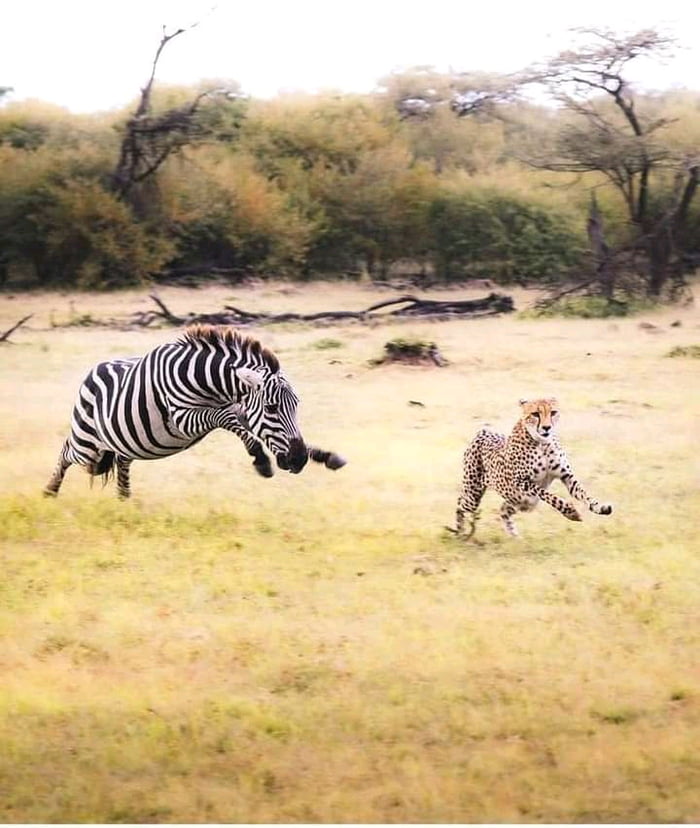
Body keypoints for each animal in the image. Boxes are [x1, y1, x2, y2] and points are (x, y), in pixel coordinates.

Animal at [44, 324, 346, 499]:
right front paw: (260, 459)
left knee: (123, 463)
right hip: (88, 445)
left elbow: (250, 426)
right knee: (66, 451)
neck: (209, 383)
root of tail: (94, 368)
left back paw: (124, 502)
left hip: (124, 443)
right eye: (271, 408)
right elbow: (224, 418)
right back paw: (50, 491)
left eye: (296, 406)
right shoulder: (182, 419)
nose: (298, 460)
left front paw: (325, 455)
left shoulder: (241, 408)